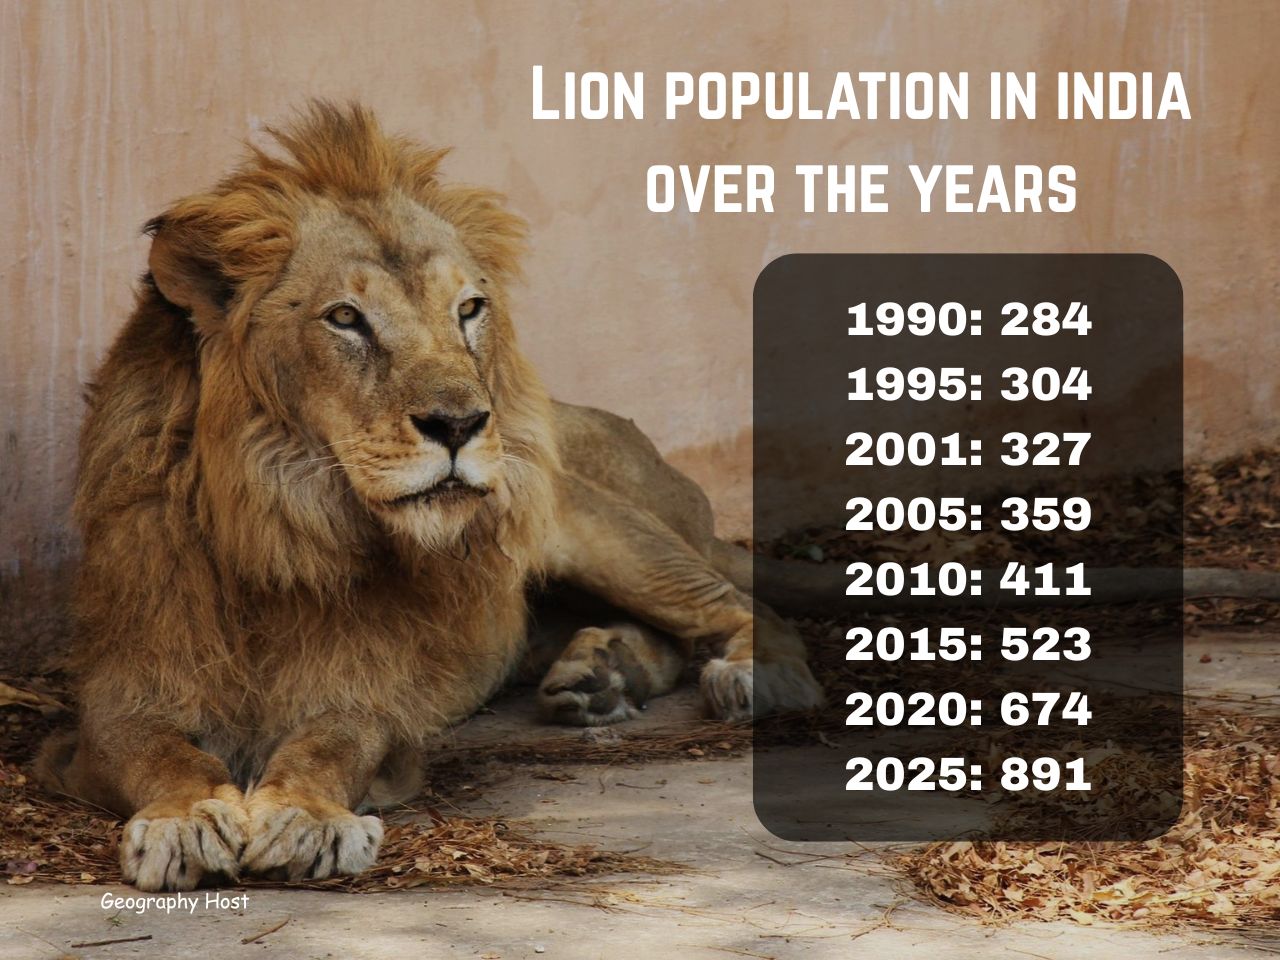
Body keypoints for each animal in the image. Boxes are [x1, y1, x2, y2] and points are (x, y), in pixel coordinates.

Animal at [36, 102, 822, 892]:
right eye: (345, 318)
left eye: (469, 309)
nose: (462, 423)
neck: (279, 526)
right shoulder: (117, 695)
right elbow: (158, 752)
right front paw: (187, 818)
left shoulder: (372, 697)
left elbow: (330, 744)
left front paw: (308, 820)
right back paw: (601, 674)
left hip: (589, 524)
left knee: (738, 605)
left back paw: (753, 674)